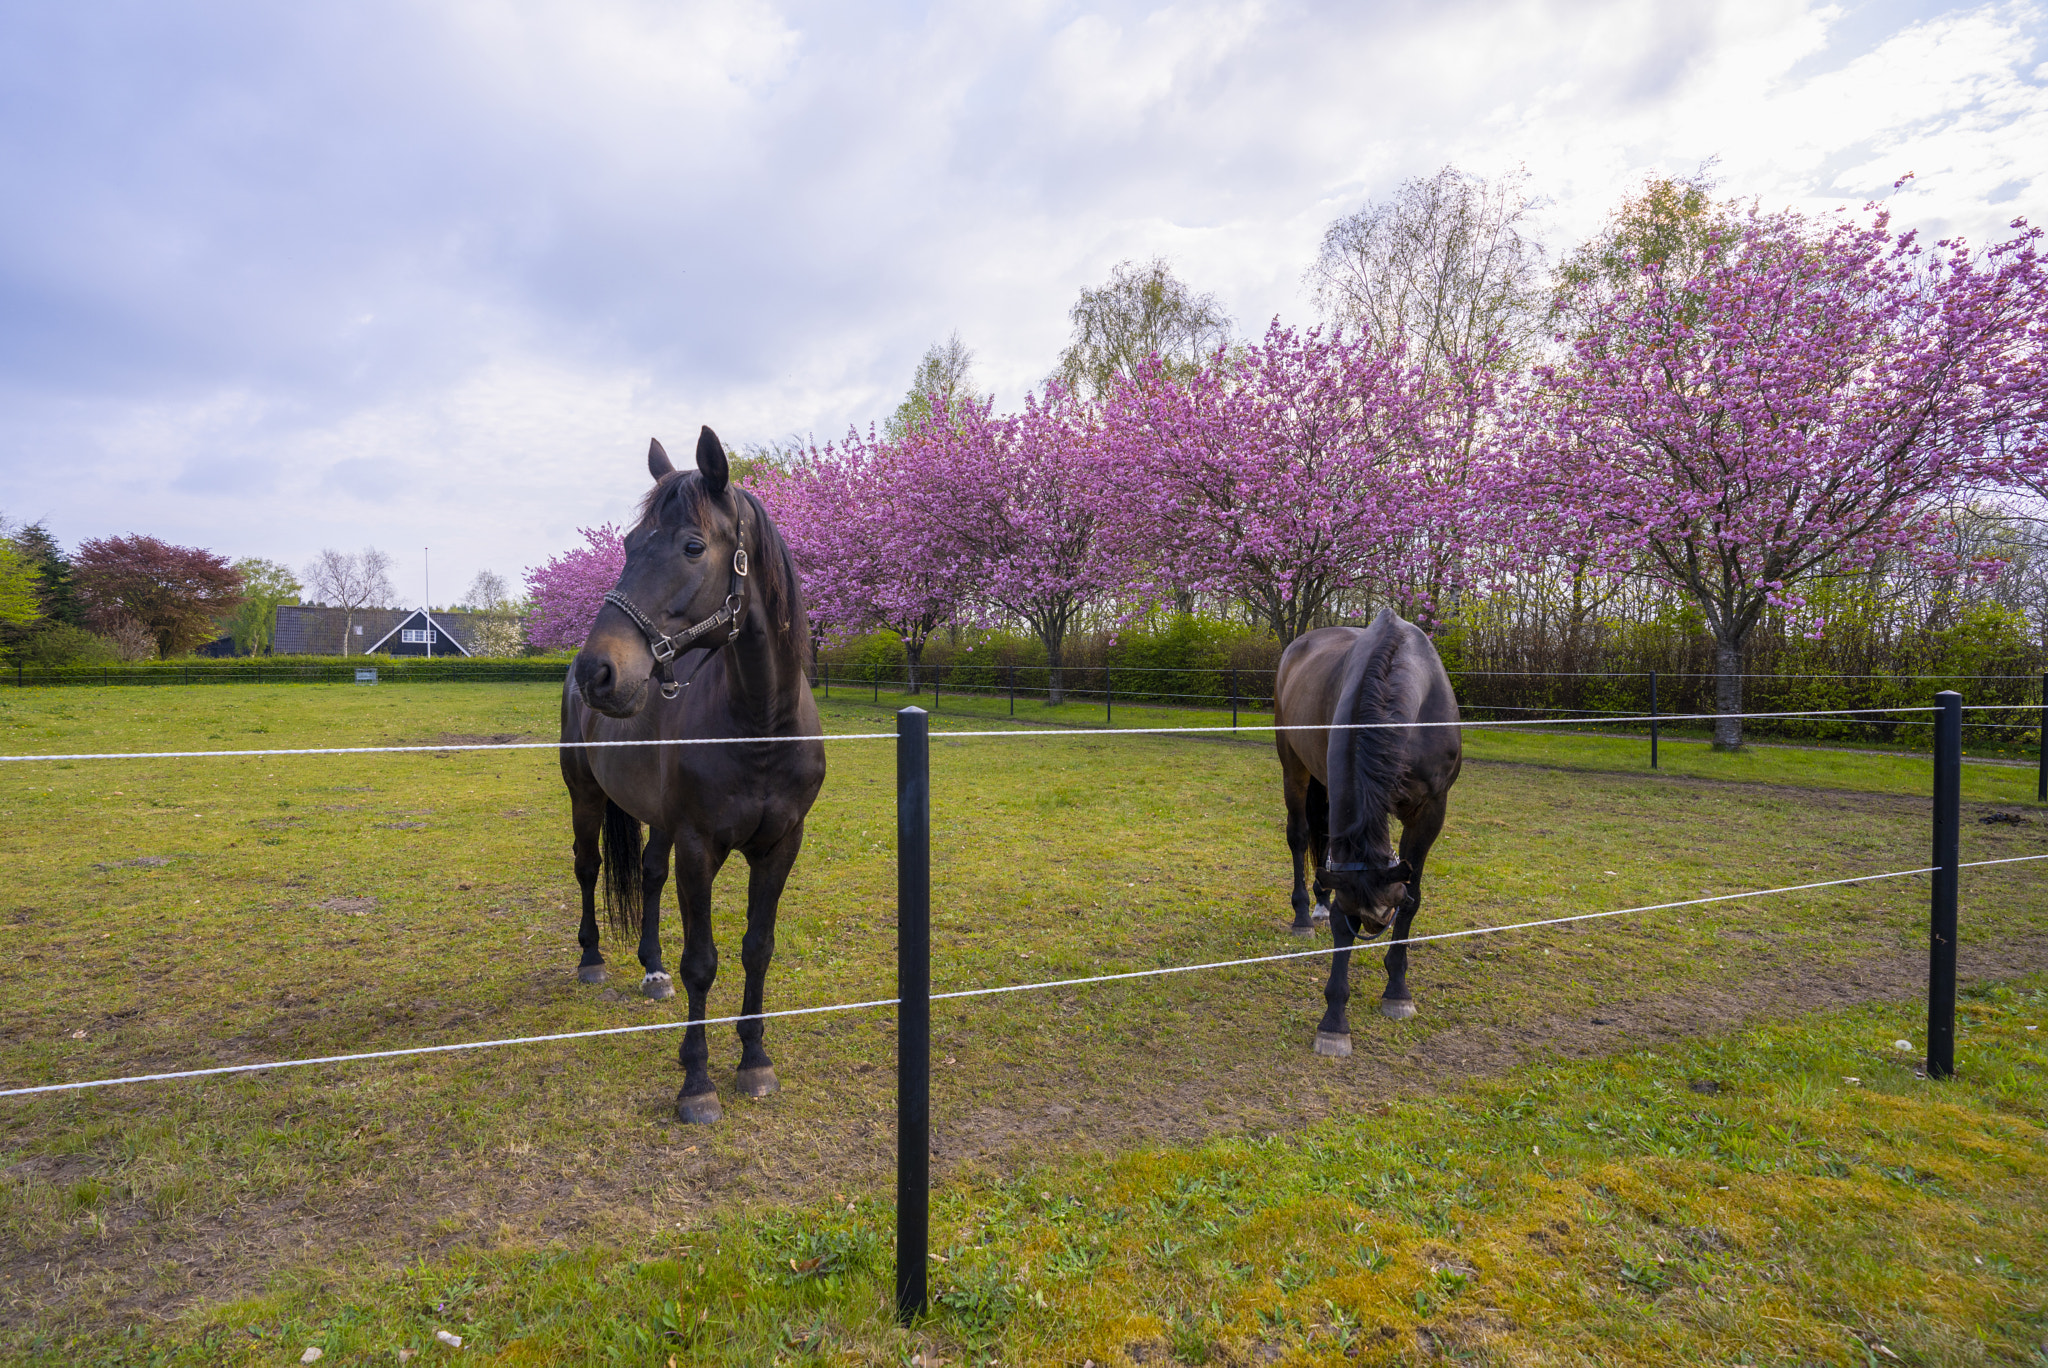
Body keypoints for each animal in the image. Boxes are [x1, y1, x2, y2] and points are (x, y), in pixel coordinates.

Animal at [561, 426, 825, 1124]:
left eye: (692, 546)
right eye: (629, 545)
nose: (598, 671)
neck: (759, 725)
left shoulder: (780, 845)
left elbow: (757, 946)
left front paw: (755, 1061)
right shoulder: (700, 847)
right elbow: (702, 962)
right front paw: (697, 1082)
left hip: (659, 822)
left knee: (649, 874)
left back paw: (651, 970)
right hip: (585, 795)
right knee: (589, 866)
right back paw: (593, 959)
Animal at [1273, 608, 1462, 1058]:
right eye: (1357, 916)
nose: (1375, 924)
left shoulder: (1431, 812)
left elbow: (1413, 899)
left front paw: (1397, 991)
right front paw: (1334, 1023)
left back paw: (1318, 903)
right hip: (1294, 767)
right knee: (1300, 837)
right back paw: (1304, 913)